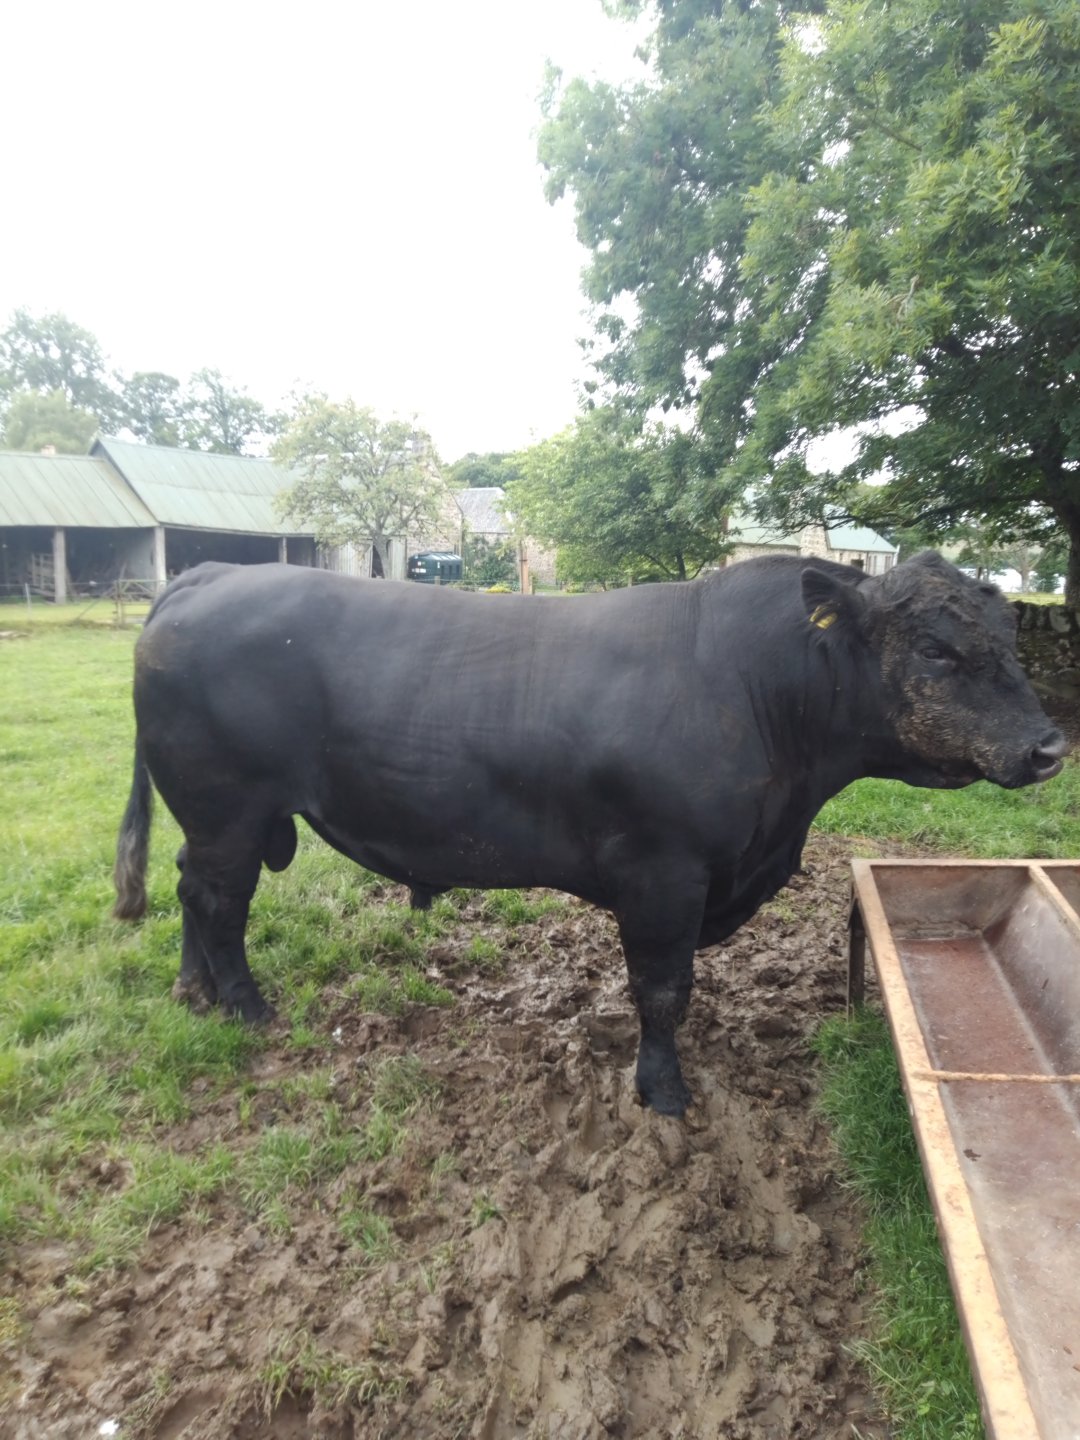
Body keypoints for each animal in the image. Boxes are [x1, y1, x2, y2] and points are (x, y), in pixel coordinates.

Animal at [113, 552, 1066, 1116]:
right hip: (230, 808)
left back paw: (193, 991)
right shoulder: (663, 872)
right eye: (936, 649)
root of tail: (207, 573)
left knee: (190, 884)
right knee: (218, 898)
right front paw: (665, 1089)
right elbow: (663, 988)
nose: (1050, 744)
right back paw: (245, 1006)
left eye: (1008, 631)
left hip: (218, 817)